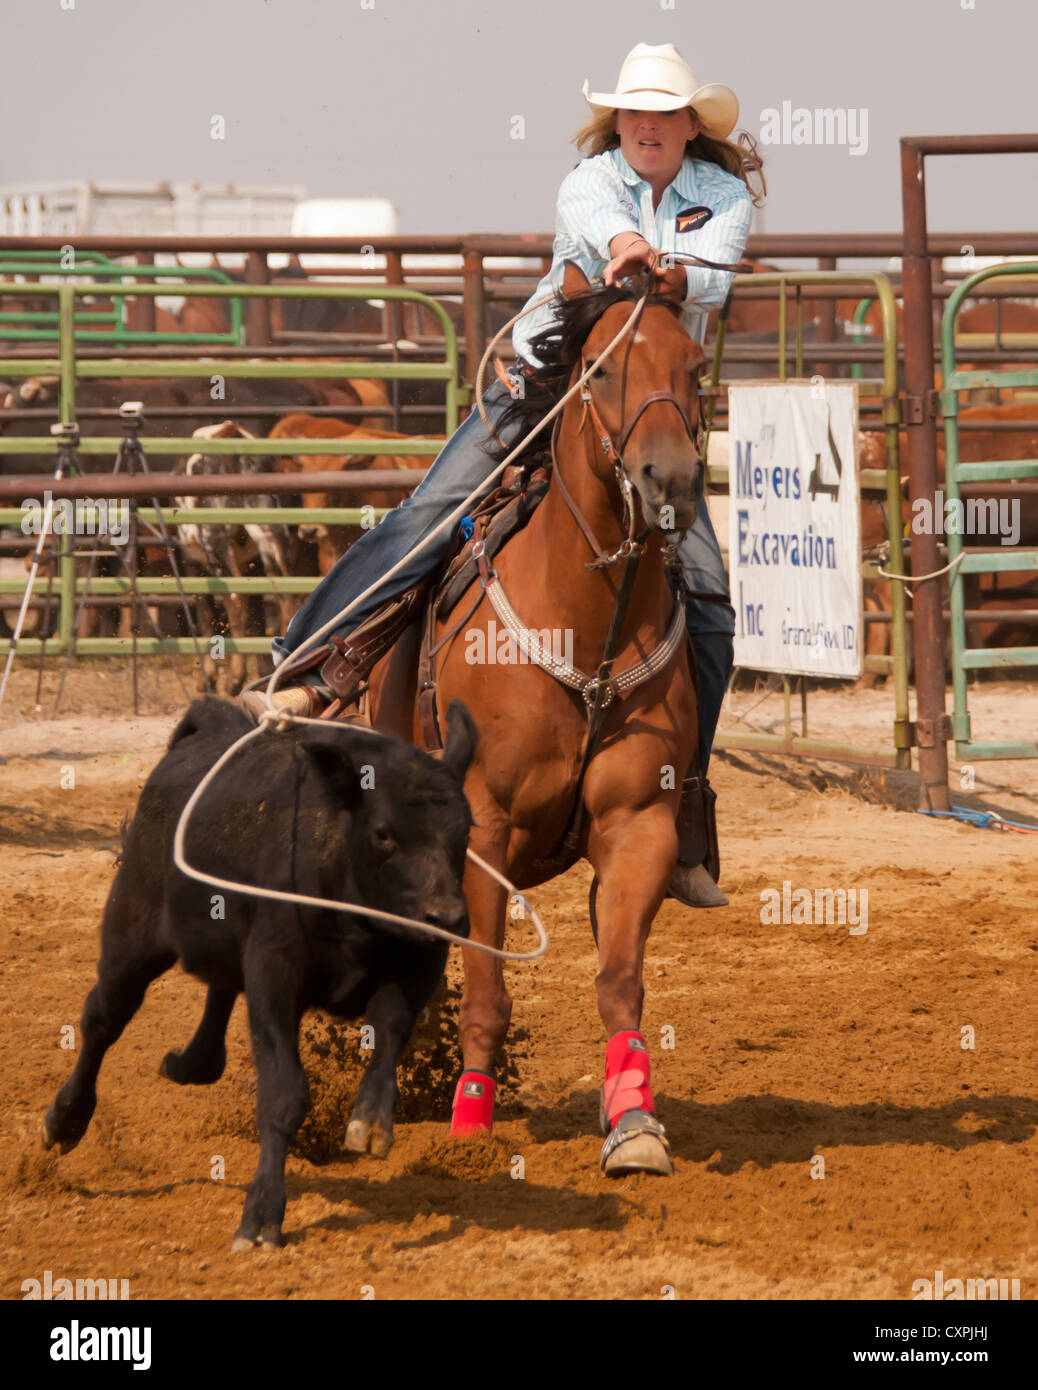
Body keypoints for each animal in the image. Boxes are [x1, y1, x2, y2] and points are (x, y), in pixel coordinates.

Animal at [366, 261, 705, 1173]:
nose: (670, 480)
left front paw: (635, 1122)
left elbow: (619, 982)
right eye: (599, 370)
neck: (585, 630)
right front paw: (469, 1124)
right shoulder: (482, 829)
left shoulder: (639, 823)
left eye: (696, 367)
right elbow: (487, 992)